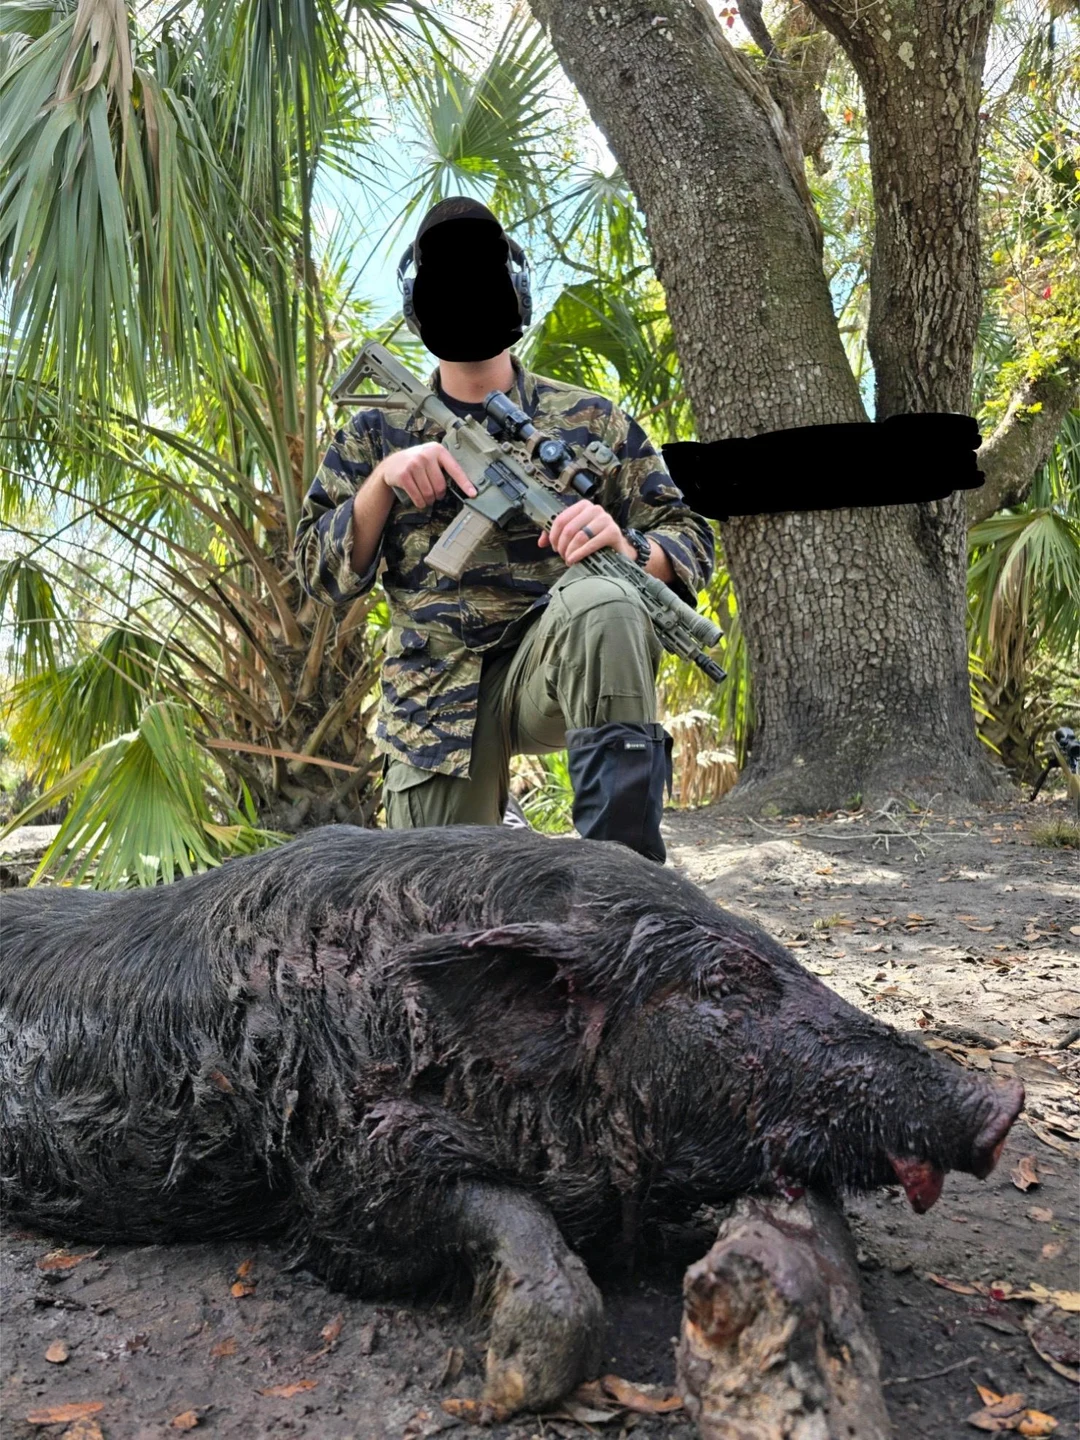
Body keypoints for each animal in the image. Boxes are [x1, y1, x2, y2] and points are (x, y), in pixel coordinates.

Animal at [0, 826, 1023, 1413]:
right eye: (725, 984)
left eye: (779, 953)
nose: (1002, 1102)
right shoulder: (345, 1166)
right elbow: (496, 1222)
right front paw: (493, 1397)